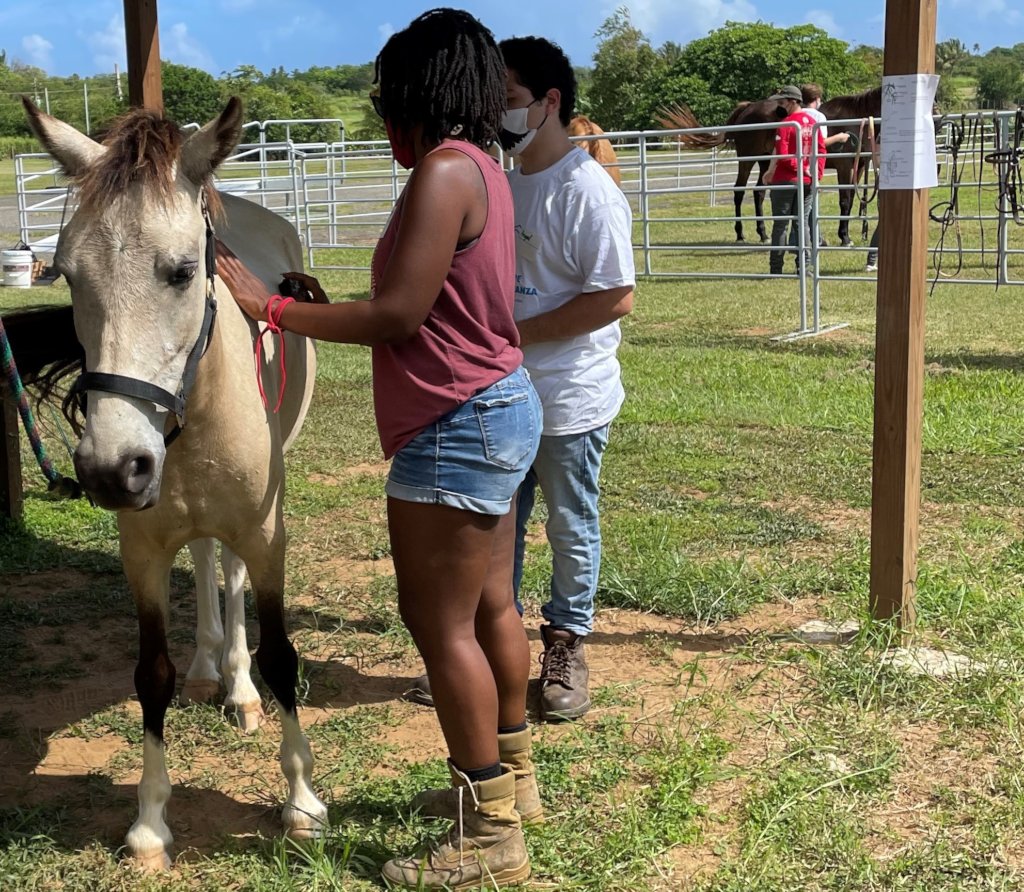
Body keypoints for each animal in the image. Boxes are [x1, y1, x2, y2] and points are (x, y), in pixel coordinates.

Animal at [15, 97, 326, 870]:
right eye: (68, 275)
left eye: (183, 271)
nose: (112, 466)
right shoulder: (144, 552)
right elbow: (149, 674)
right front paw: (151, 823)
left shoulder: (268, 534)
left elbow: (282, 657)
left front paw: (302, 802)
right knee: (207, 556)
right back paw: (210, 667)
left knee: (233, 577)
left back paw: (237, 687)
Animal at [660, 88, 884, 245]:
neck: (856, 117)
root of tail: (747, 109)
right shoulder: (845, 166)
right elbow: (845, 201)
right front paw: (844, 237)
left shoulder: (859, 166)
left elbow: (855, 199)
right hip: (747, 159)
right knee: (739, 191)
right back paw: (740, 234)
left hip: (766, 161)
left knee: (758, 192)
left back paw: (763, 233)